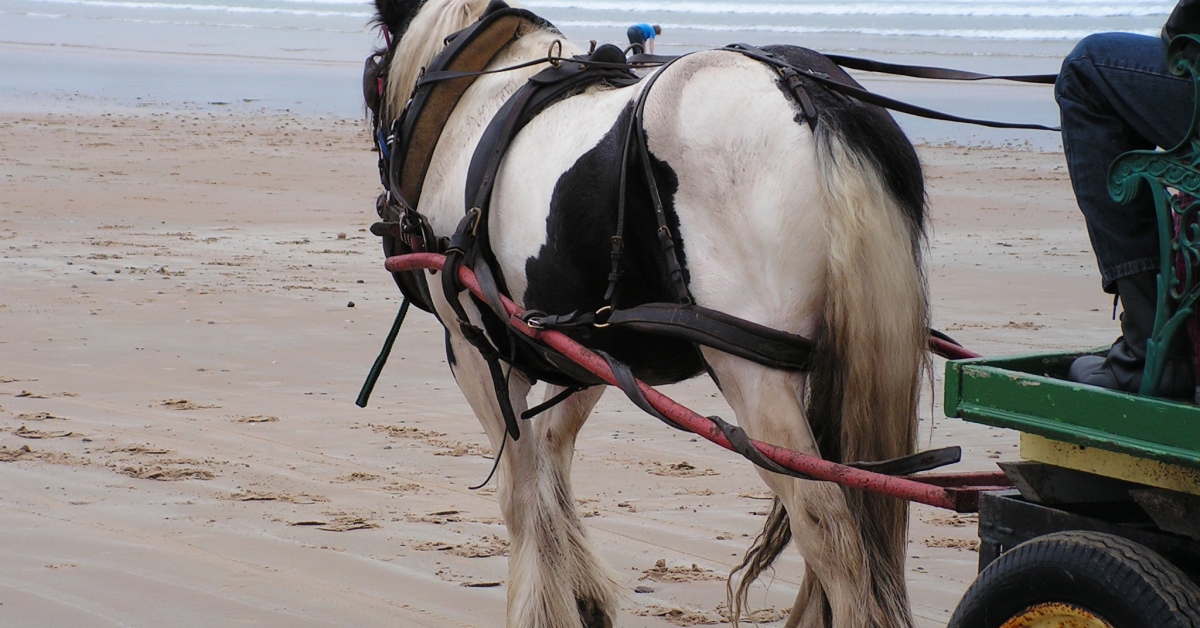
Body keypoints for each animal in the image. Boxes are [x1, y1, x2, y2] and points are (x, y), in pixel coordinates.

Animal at [364, 0, 929, 625]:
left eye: (376, 70)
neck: (480, 96)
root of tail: (806, 91)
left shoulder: (474, 349)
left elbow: (520, 491)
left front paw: (542, 604)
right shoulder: (590, 344)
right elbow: (552, 454)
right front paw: (582, 593)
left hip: (752, 374)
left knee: (830, 527)